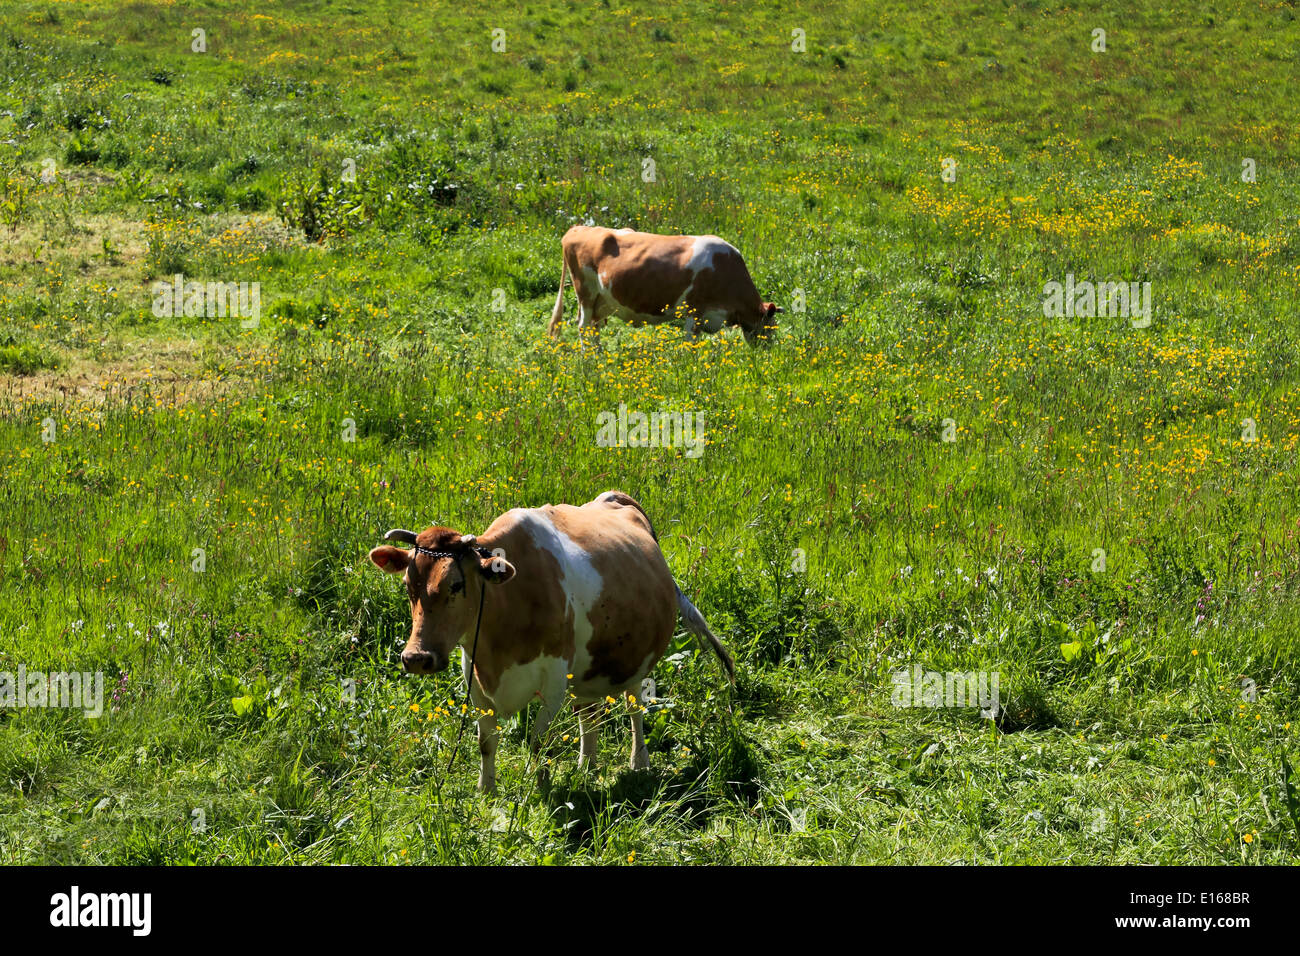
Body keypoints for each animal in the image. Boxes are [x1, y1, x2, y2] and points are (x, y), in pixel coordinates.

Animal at [369, 490, 734, 792]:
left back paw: (638, 762)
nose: (417, 657)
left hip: (635, 661)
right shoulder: (474, 677)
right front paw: (486, 793)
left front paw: (540, 789)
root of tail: (614, 497)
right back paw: (587, 766)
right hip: (589, 668)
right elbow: (486, 741)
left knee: (634, 708)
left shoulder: (555, 679)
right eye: (408, 583)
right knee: (590, 714)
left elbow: (537, 742)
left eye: (456, 585)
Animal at [547, 225, 782, 343]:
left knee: (594, 328)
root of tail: (578, 228)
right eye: (770, 330)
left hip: (602, 301)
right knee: (584, 327)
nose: (767, 355)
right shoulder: (694, 312)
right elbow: (690, 345)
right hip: (586, 292)